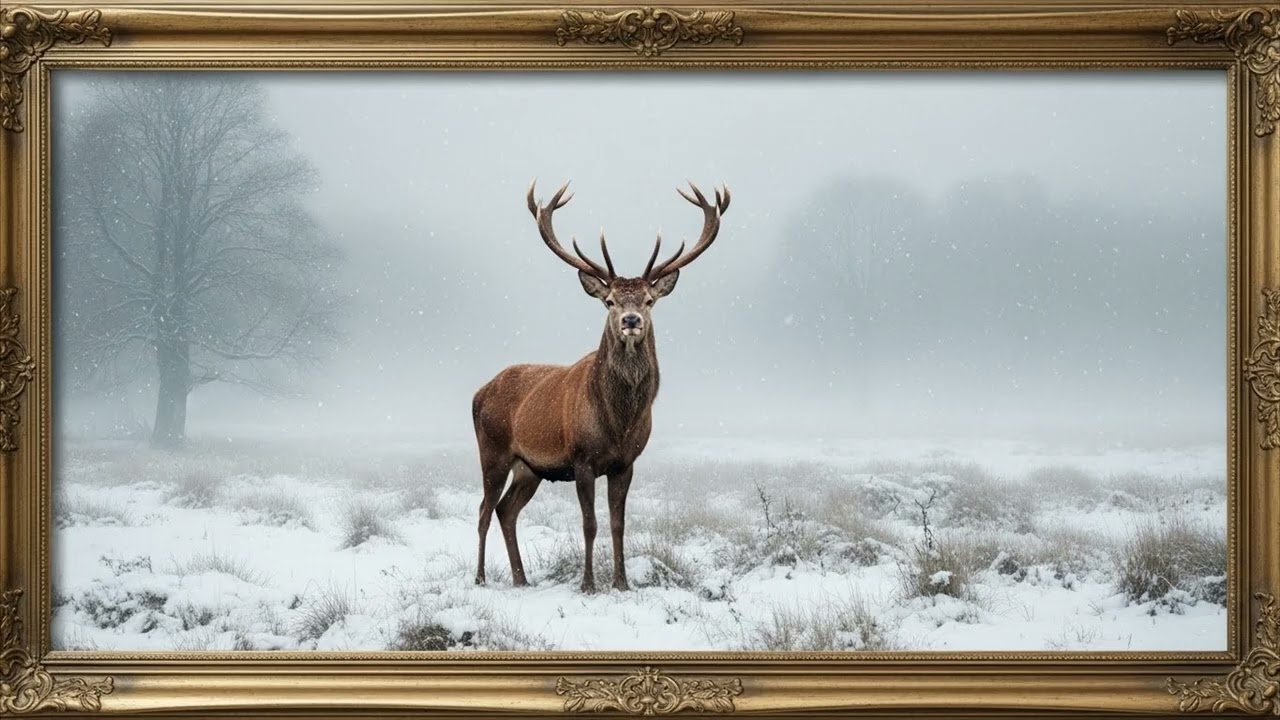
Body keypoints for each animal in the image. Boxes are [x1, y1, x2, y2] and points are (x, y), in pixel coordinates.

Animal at [471, 179, 730, 594]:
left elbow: (618, 524)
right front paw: (589, 584)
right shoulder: (582, 459)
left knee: (506, 509)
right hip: (492, 451)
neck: (617, 422)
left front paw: (622, 583)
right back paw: (480, 577)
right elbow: (589, 524)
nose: (630, 320)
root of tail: (478, 393)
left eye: (649, 300)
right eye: (608, 300)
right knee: (483, 509)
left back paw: (521, 579)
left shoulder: (626, 463)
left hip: (530, 468)